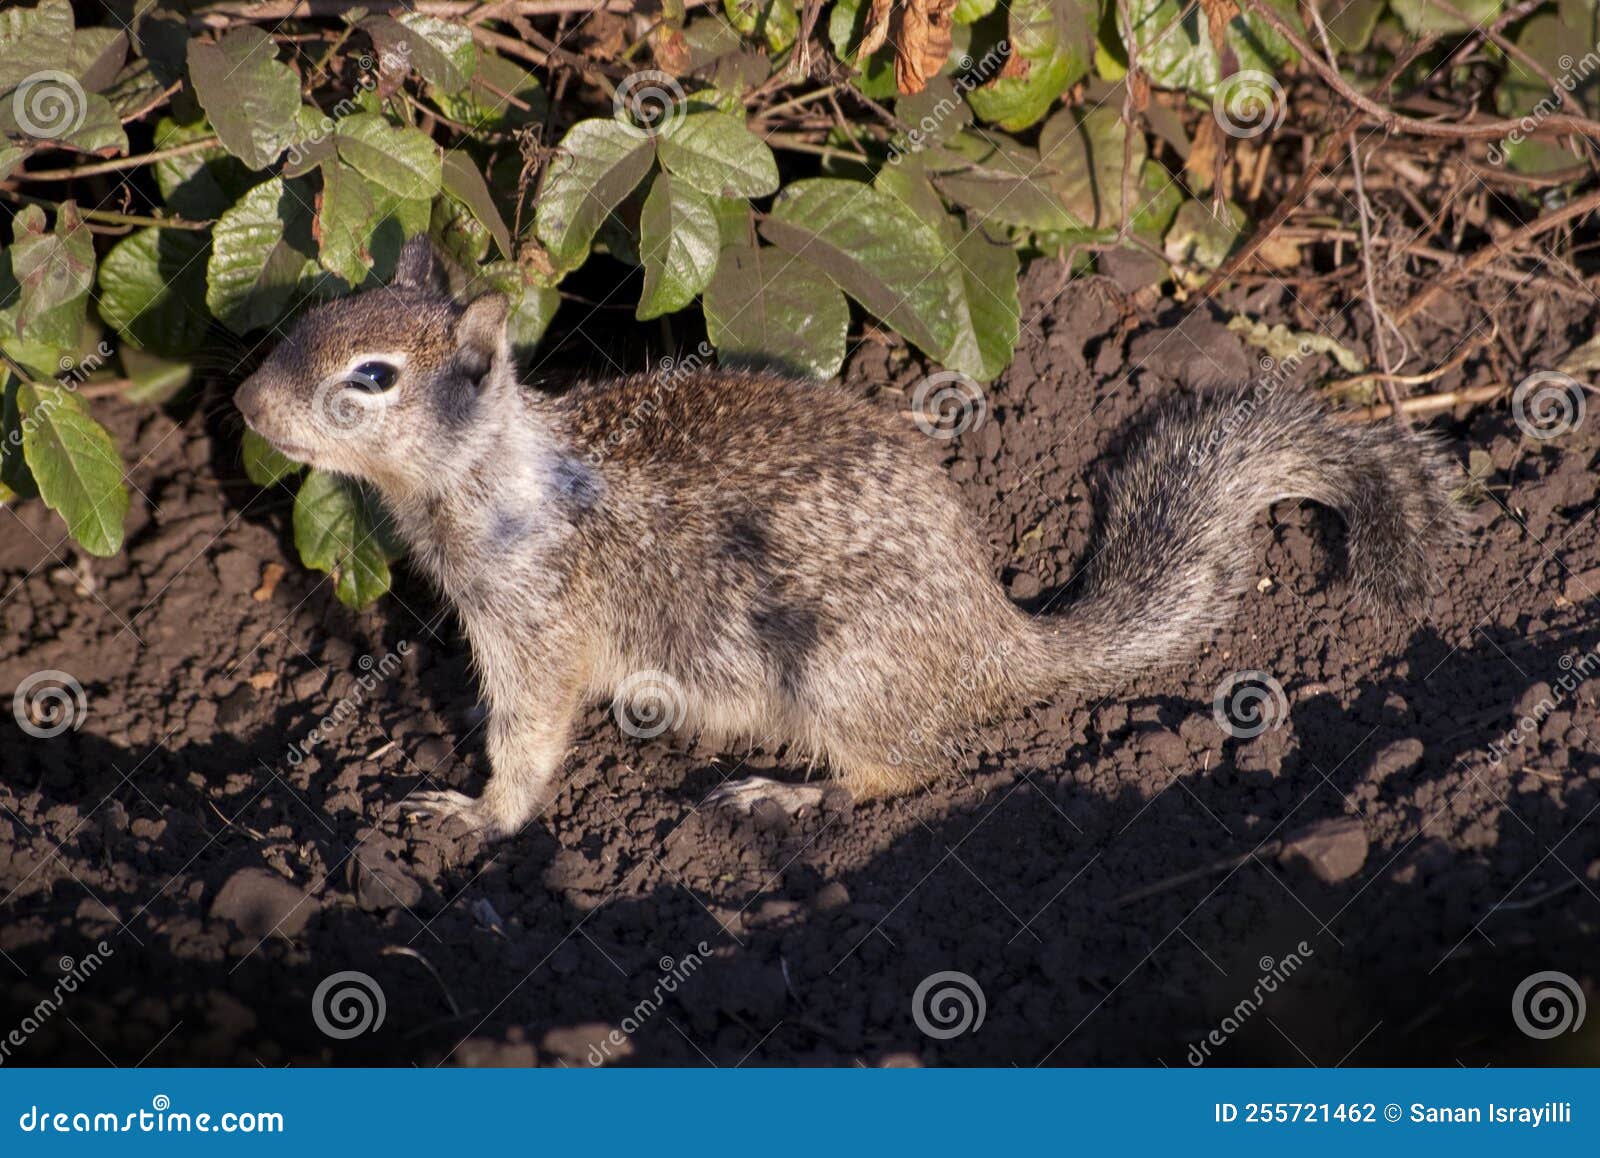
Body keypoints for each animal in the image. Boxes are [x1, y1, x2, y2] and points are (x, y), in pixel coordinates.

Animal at [234, 237, 1460, 839]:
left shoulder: (536, 623)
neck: (493, 474)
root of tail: (999, 643)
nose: (245, 404)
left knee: (911, 771)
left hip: (837, 668)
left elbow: (529, 739)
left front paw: (477, 815)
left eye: (373, 378)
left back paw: (790, 798)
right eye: (313, 316)